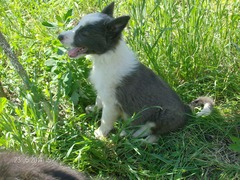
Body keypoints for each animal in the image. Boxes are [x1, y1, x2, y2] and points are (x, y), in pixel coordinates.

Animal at [58, 1, 214, 142]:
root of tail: (186, 110)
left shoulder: (111, 102)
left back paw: (130, 135)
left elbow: (105, 120)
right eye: (78, 25)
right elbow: (98, 101)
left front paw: (99, 134)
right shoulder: (103, 92)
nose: (59, 36)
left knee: (152, 134)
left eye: (84, 33)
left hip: (162, 116)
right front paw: (94, 109)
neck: (105, 57)